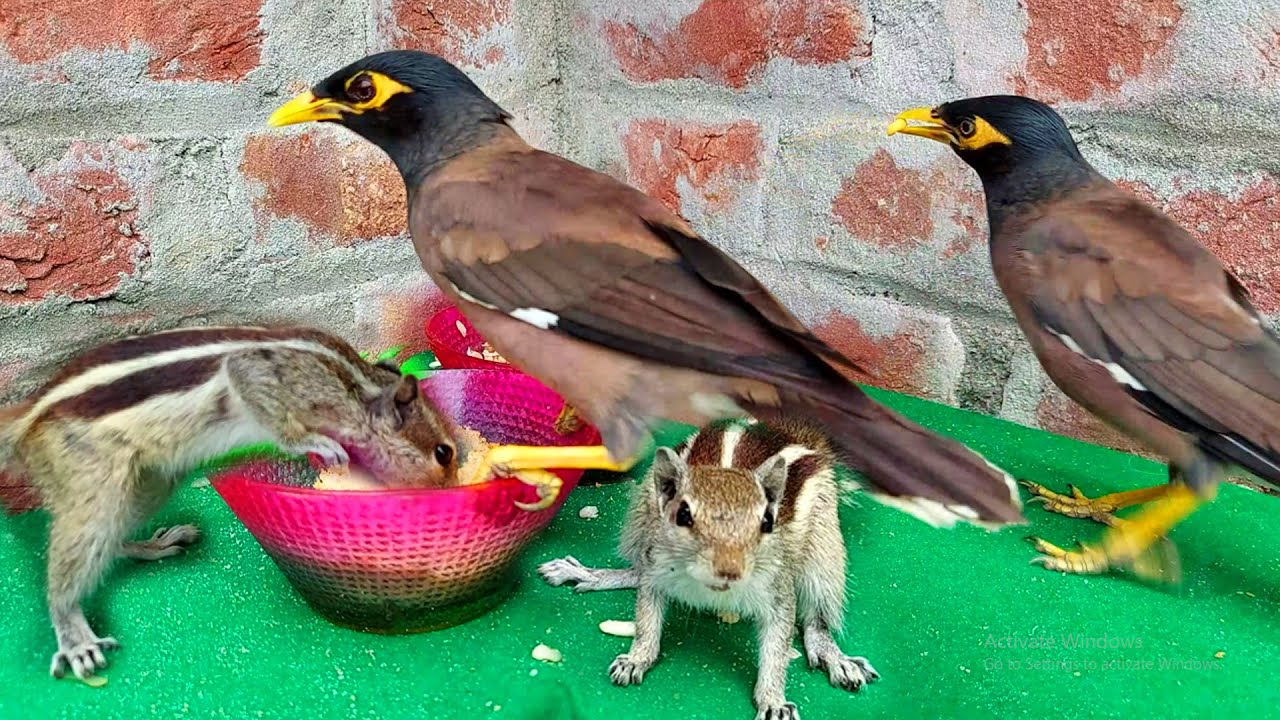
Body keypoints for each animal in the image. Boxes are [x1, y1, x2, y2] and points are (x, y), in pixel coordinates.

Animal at [0, 324, 463, 682]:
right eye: (443, 453)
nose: (452, 491)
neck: (358, 385)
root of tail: (25, 420)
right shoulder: (281, 379)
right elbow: (254, 388)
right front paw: (316, 445)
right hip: (93, 485)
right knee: (74, 559)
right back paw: (74, 634)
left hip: (150, 484)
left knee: (115, 539)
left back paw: (153, 544)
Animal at [538, 417, 878, 720]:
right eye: (683, 515)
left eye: (767, 521)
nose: (729, 570)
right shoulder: (656, 566)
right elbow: (646, 621)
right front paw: (636, 659)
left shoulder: (777, 589)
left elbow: (777, 647)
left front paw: (773, 700)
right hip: (641, 514)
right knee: (635, 570)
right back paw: (589, 574)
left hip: (824, 548)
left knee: (818, 615)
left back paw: (835, 656)